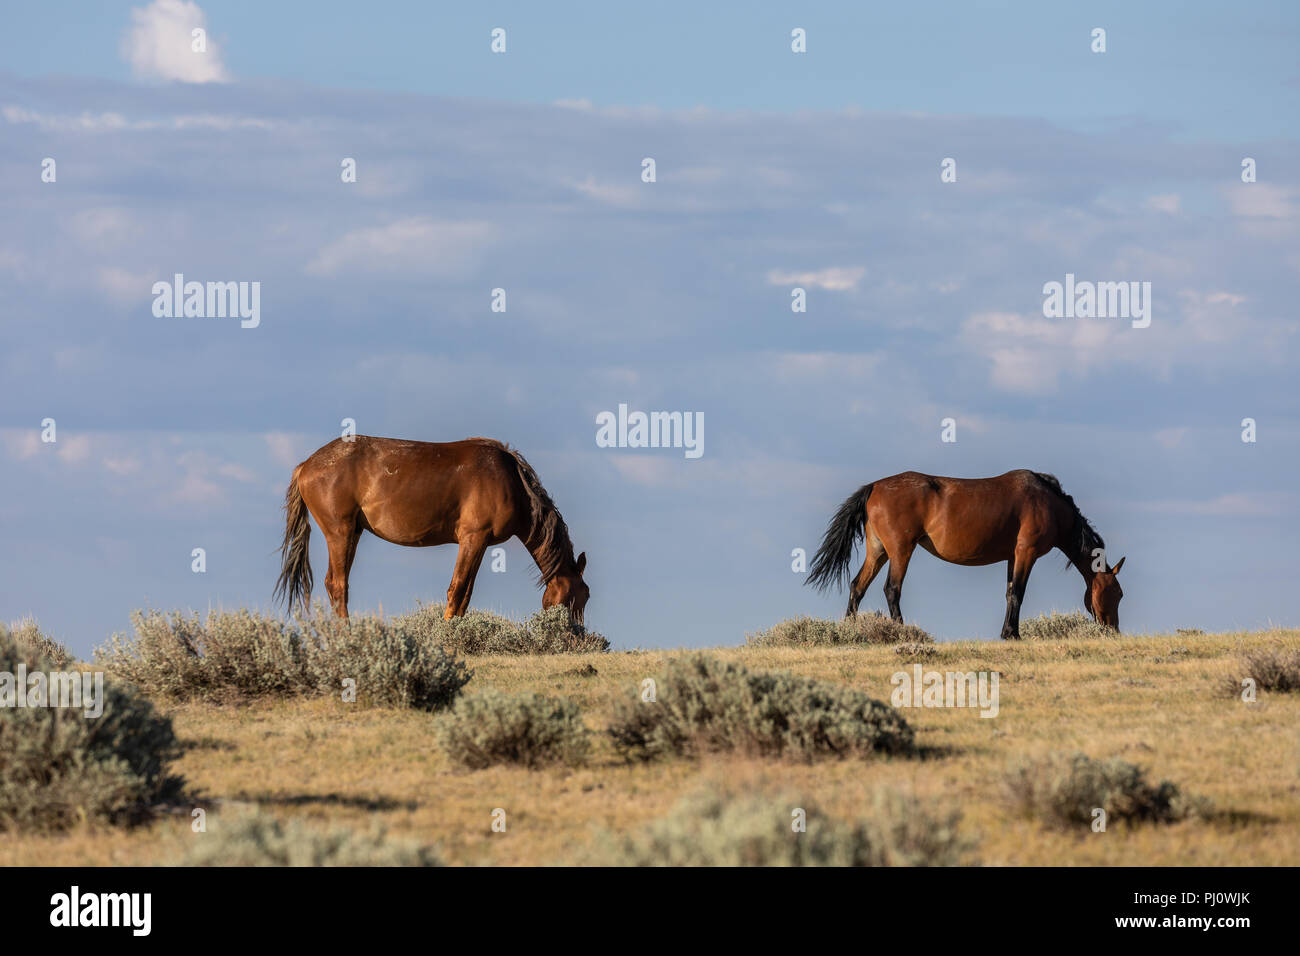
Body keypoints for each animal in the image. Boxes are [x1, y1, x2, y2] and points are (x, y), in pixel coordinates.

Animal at [273, 436, 589, 622]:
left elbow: (466, 594)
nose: (576, 637)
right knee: (337, 585)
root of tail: (306, 465)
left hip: (353, 533)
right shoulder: (473, 538)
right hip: (339, 532)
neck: (510, 479)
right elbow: (456, 589)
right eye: (579, 596)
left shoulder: (479, 543)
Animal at [805, 470, 1123, 639]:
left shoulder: (1013, 557)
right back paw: (902, 631)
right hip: (900, 550)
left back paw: (850, 631)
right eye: (1118, 594)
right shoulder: (1026, 553)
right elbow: (1018, 593)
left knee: (857, 587)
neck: (1049, 504)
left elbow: (1009, 593)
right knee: (891, 589)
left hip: (878, 551)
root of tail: (874, 487)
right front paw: (1014, 634)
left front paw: (1008, 632)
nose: (1114, 630)